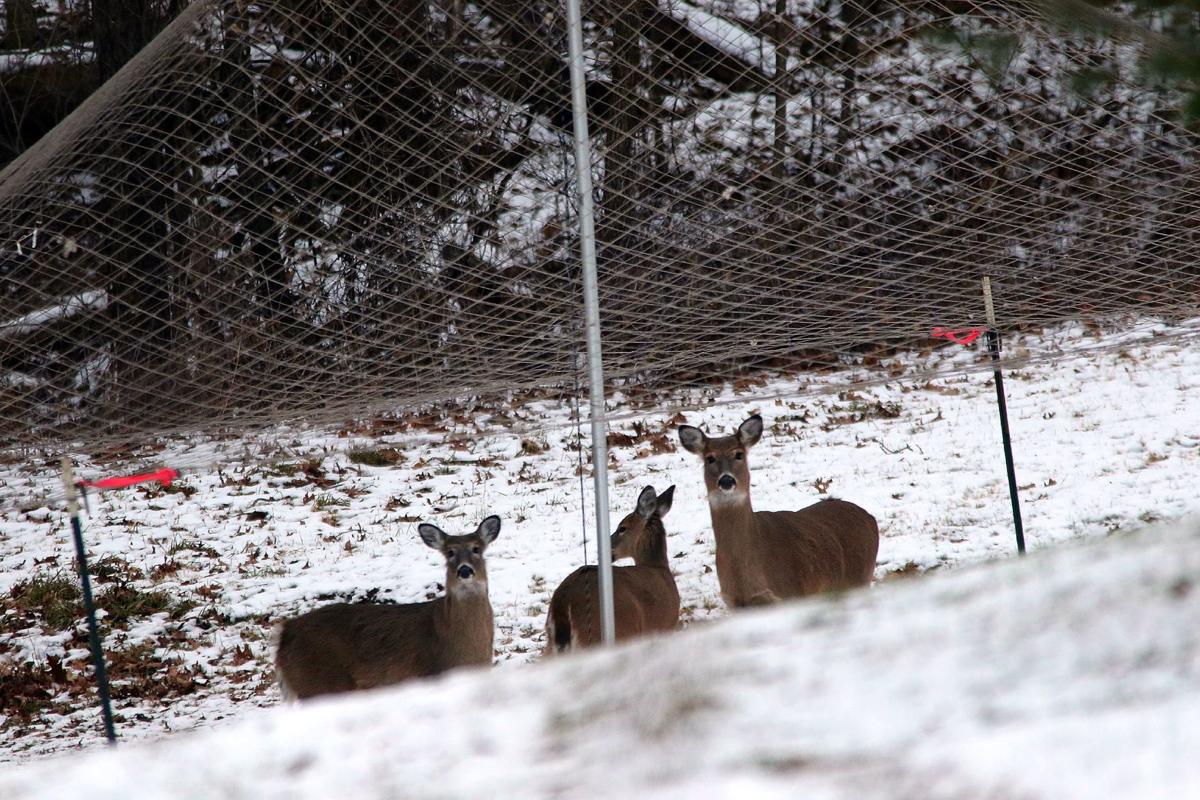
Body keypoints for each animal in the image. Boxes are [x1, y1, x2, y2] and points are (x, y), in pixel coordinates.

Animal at [678, 414, 879, 608]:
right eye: (709, 458)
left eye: (739, 454)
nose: (726, 480)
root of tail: (870, 518)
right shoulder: (734, 603)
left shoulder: (792, 593)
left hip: (860, 579)